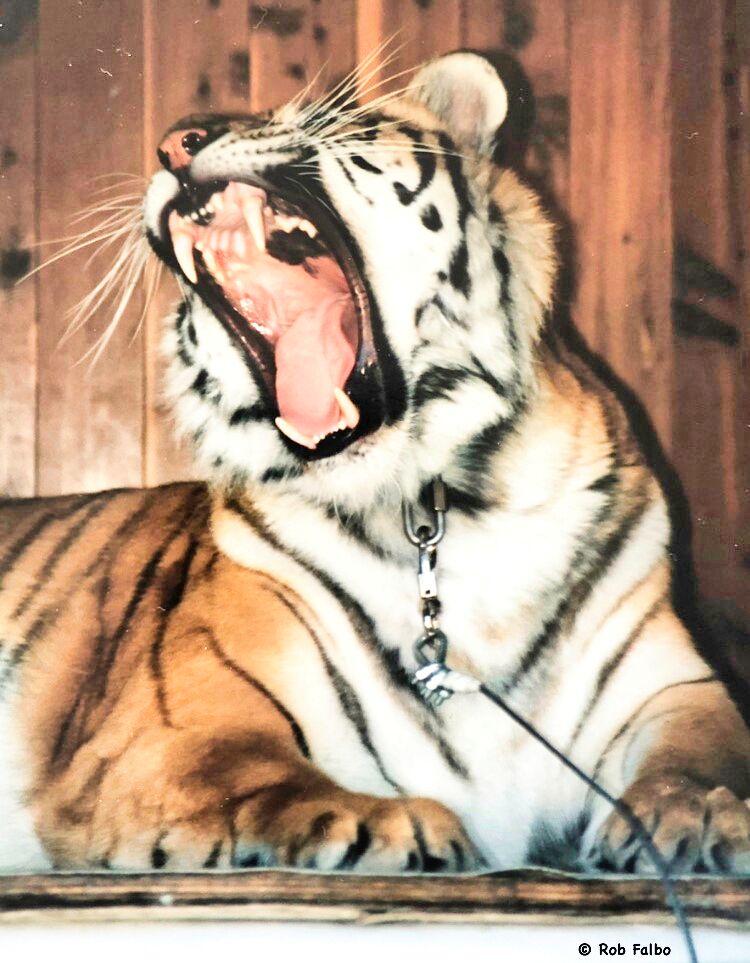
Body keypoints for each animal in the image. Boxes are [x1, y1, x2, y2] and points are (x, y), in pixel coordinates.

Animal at [1, 51, 749, 875]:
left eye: (323, 116)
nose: (174, 141)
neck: (436, 504)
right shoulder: (176, 721)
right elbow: (260, 776)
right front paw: (384, 823)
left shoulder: (673, 687)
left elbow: (706, 754)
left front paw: (700, 816)